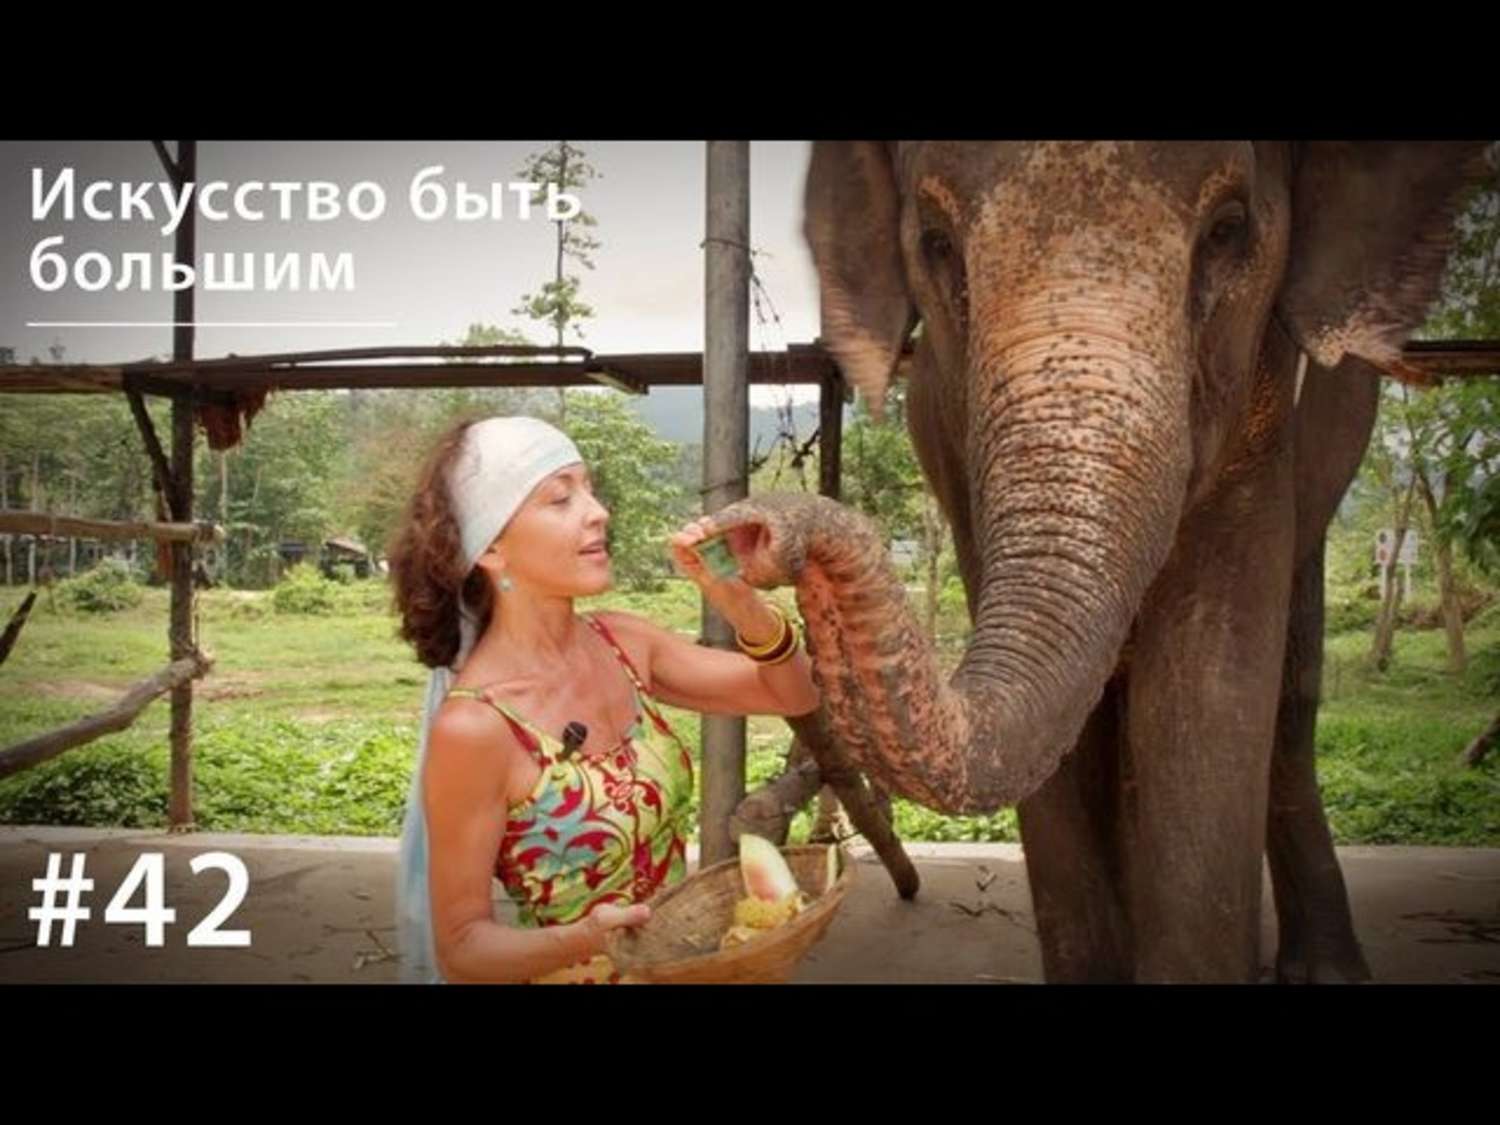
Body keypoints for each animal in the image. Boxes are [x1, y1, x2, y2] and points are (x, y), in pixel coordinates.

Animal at [714, 141, 1488, 983]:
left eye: (1228, 230)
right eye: (937, 243)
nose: (757, 531)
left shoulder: (1263, 421)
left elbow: (1207, 684)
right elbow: (1066, 749)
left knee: (1291, 691)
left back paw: (1322, 967)